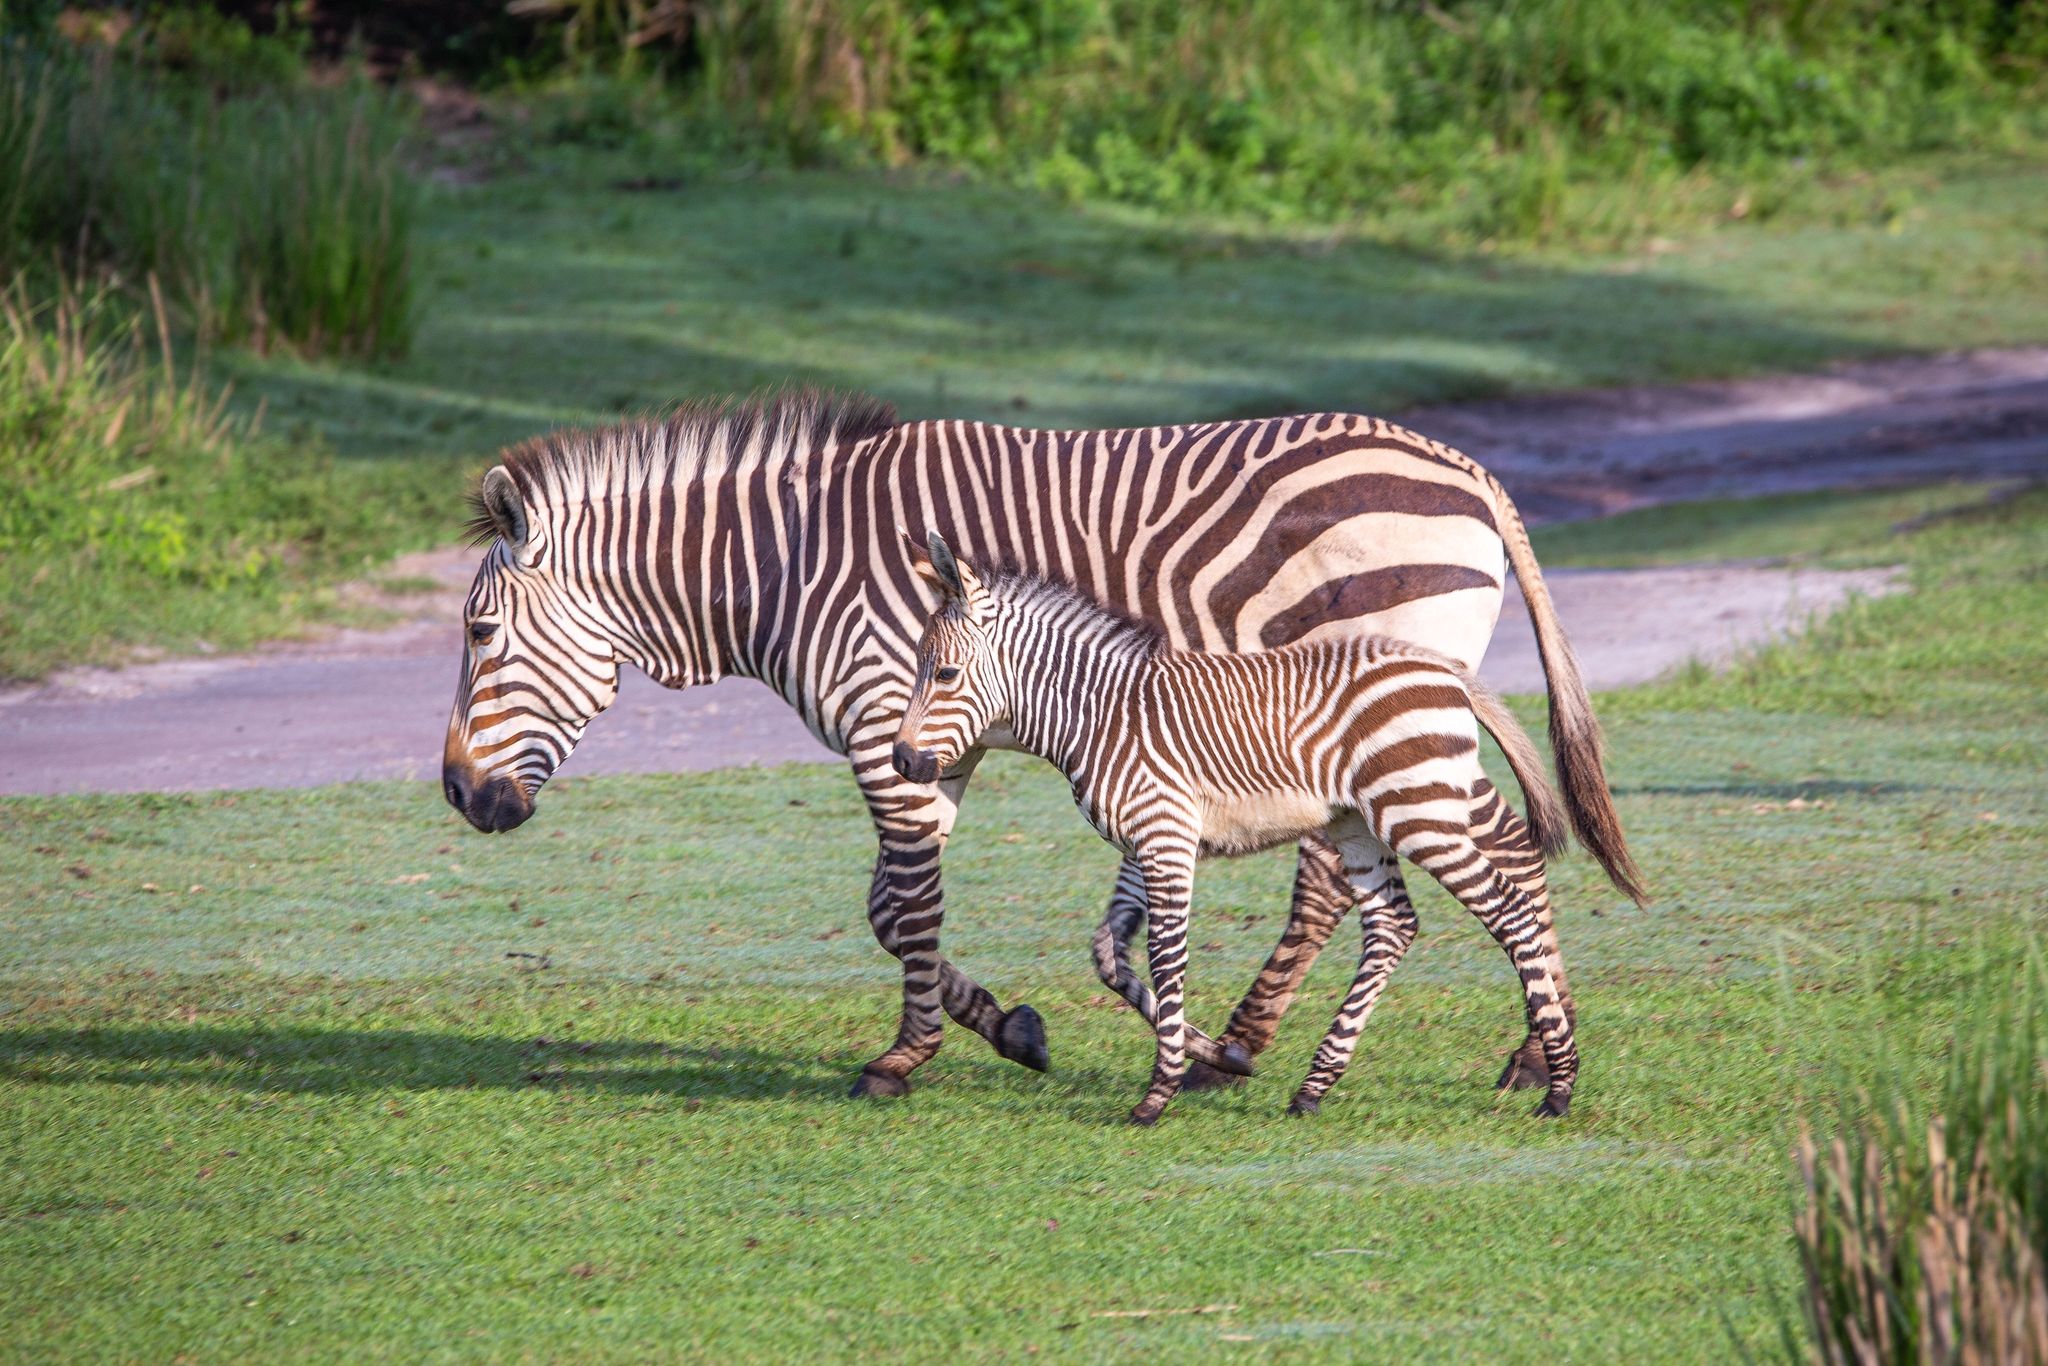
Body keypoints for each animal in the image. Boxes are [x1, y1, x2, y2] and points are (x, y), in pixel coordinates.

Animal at [893, 533, 1644, 1124]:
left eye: (946, 673)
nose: (902, 761)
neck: (1102, 713)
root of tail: (1442, 666)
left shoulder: (1165, 837)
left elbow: (1166, 957)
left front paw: (1158, 1094)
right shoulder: (1150, 840)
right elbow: (1111, 955)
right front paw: (1218, 1053)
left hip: (1419, 813)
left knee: (1508, 910)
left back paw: (1558, 1085)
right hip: (1360, 824)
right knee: (1394, 925)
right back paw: (1316, 1085)